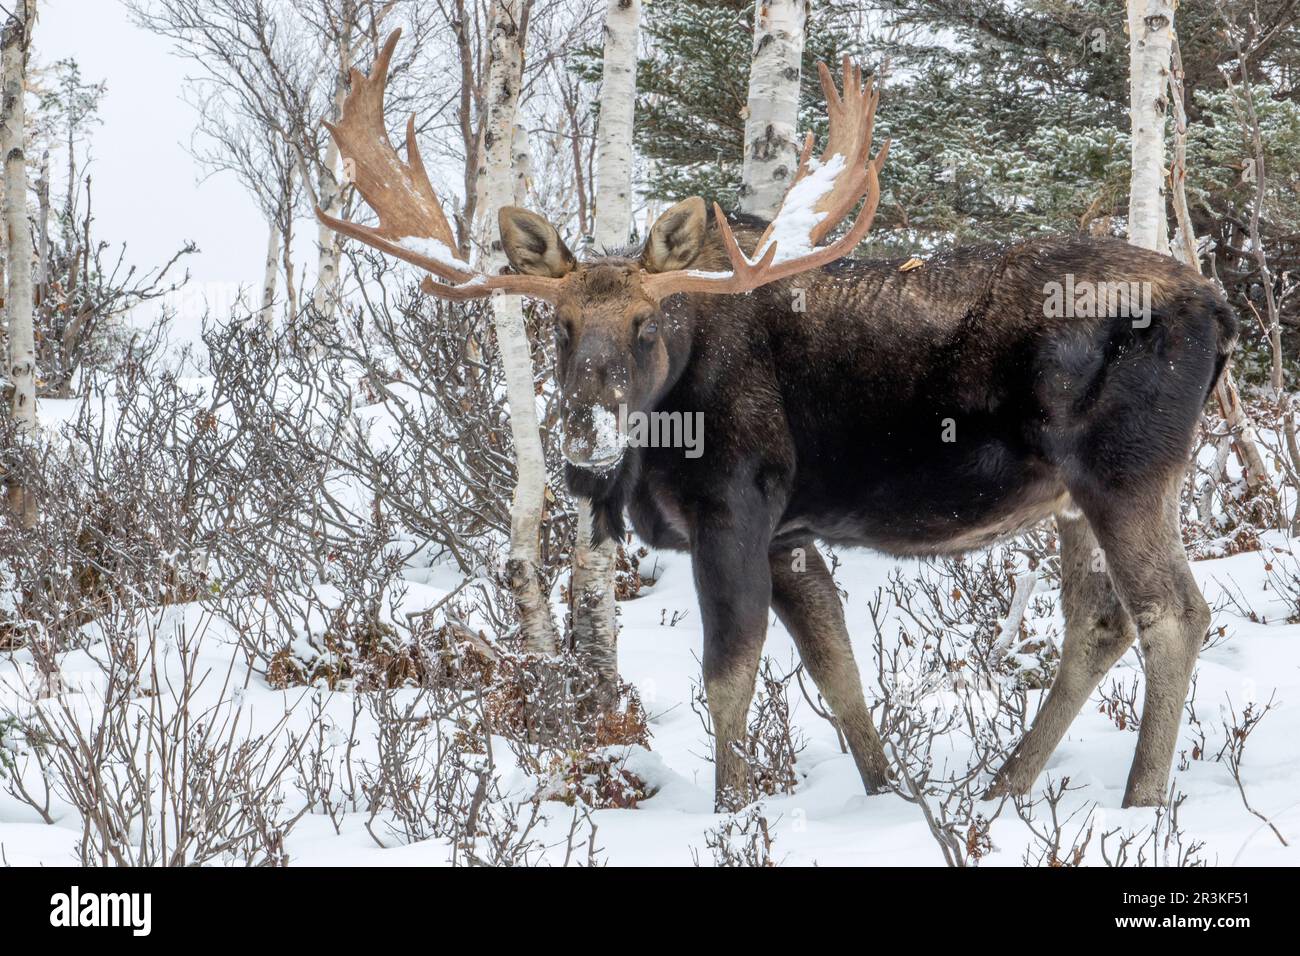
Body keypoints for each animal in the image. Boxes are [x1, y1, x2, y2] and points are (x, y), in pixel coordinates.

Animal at [319, 30, 1236, 811]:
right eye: (562, 324)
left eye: (646, 324)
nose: (586, 433)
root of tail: (1218, 309)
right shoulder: (789, 535)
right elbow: (839, 672)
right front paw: (886, 797)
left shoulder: (735, 506)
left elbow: (730, 673)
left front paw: (731, 812)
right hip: (1071, 498)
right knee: (1099, 621)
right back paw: (1004, 786)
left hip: (1126, 473)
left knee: (1175, 613)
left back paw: (1139, 801)